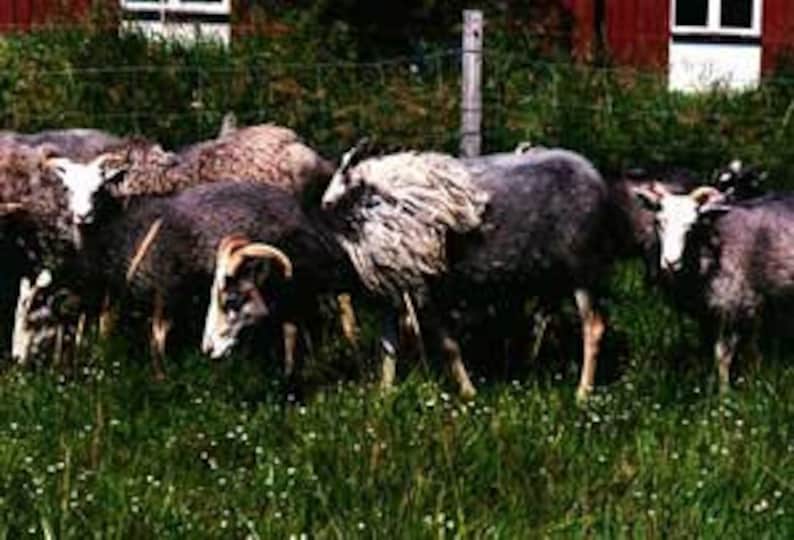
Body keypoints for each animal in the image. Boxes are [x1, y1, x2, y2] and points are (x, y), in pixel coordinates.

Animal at [319, 146, 611, 401]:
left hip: (581, 266)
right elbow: (388, 346)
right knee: (542, 320)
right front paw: (384, 395)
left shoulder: (424, 287)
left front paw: (469, 393)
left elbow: (447, 345)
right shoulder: (392, 289)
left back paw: (582, 394)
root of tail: (591, 173)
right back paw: (527, 366)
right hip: (552, 276)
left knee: (594, 326)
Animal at [632, 182, 794, 391]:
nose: (671, 262)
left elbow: (722, 356)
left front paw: (724, 392)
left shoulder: (733, 307)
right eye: (659, 222)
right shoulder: (708, 315)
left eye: (692, 226)